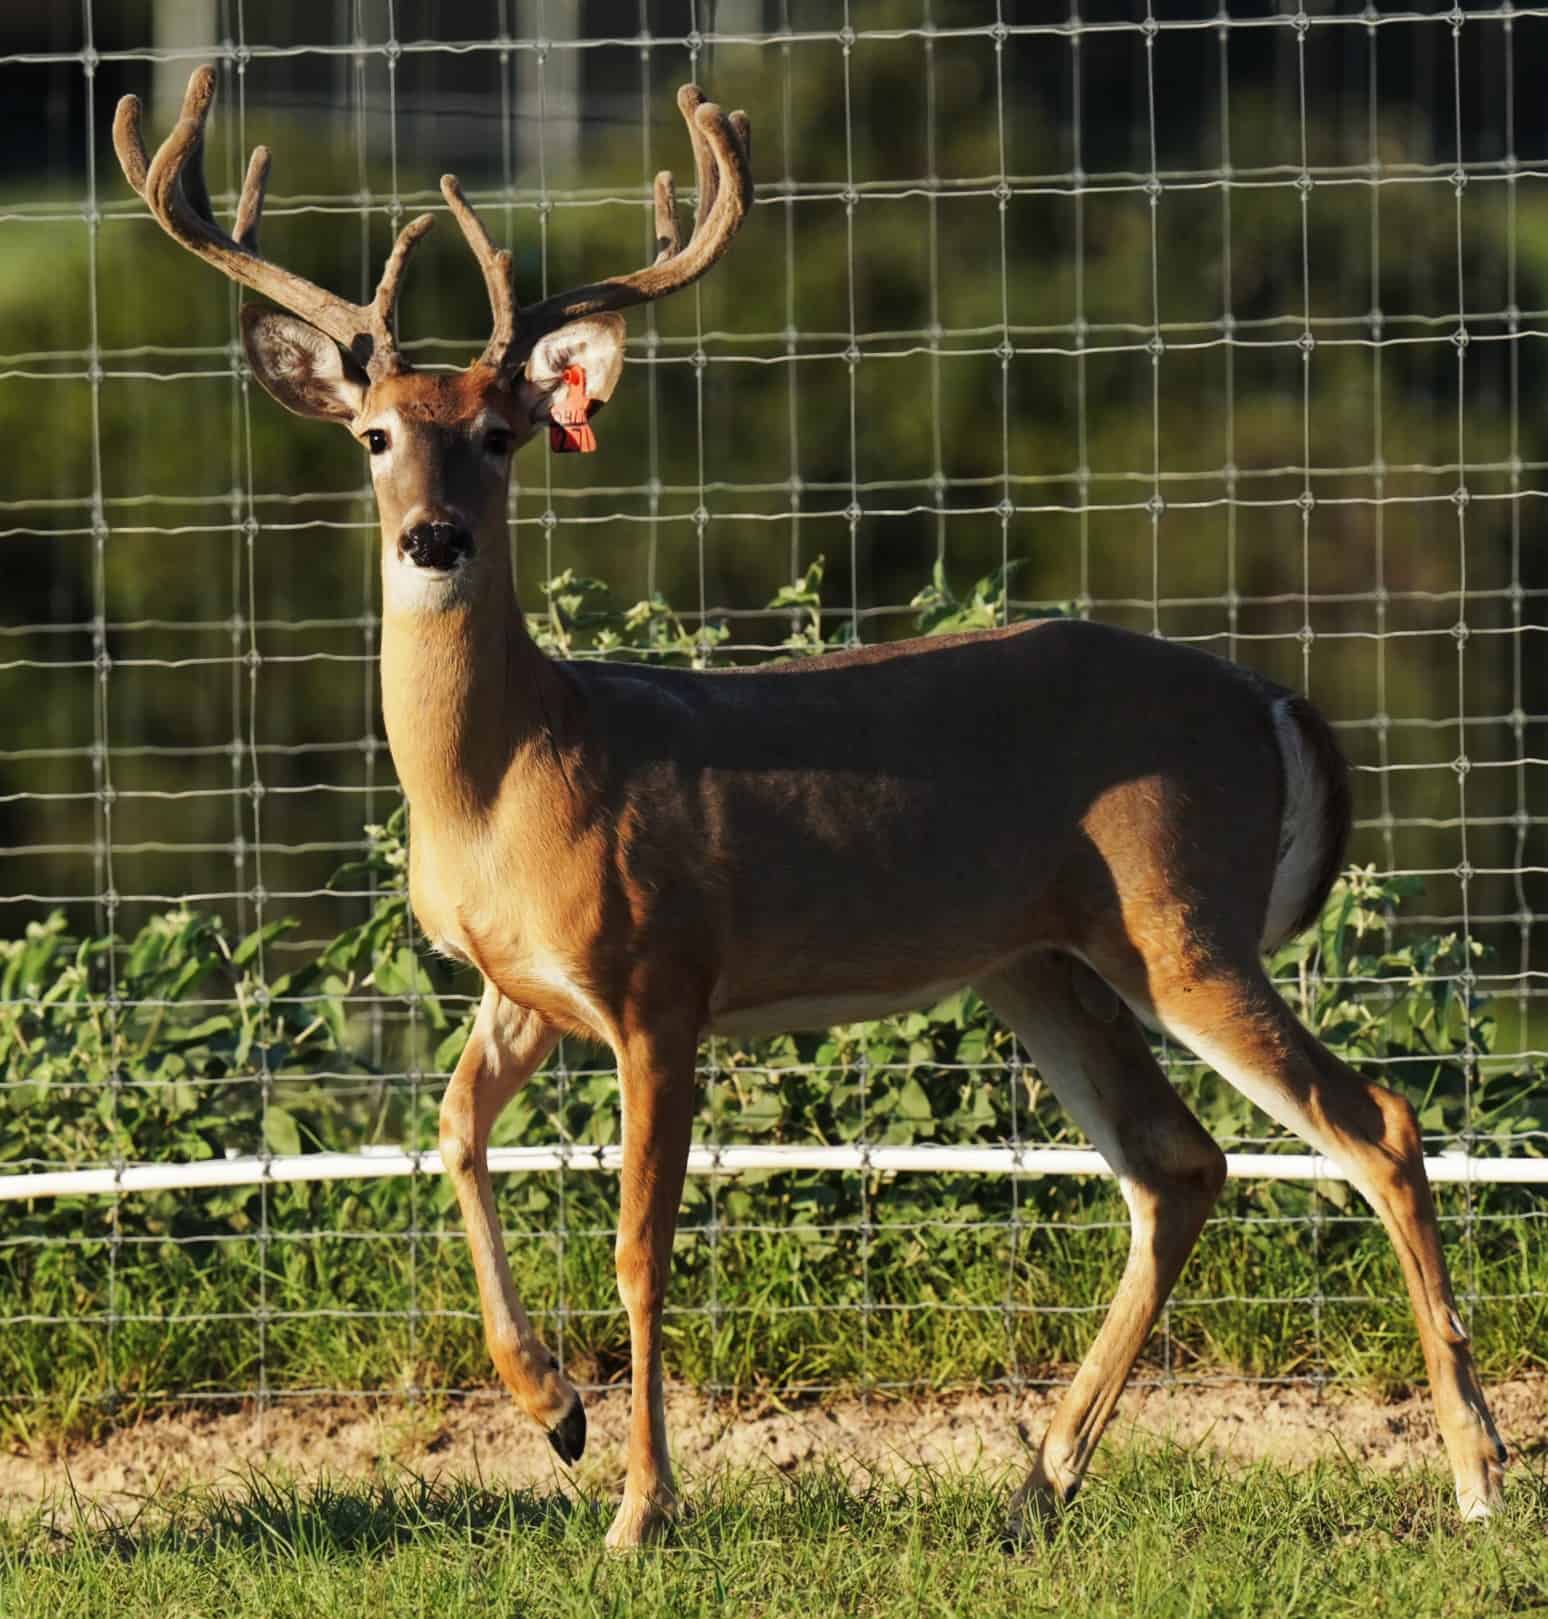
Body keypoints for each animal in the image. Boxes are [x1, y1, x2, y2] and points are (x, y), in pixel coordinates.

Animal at [113, 66, 1507, 1551]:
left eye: (498, 435)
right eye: (376, 437)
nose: (435, 536)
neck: (512, 774)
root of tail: (1273, 700)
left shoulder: (660, 975)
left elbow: (640, 1246)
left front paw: (640, 1507)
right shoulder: (514, 983)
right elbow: (451, 1136)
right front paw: (553, 1410)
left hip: (1180, 915)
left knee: (1376, 1123)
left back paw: (1476, 1469)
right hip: (1042, 960)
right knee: (1175, 1163)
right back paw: (1038, 1478)